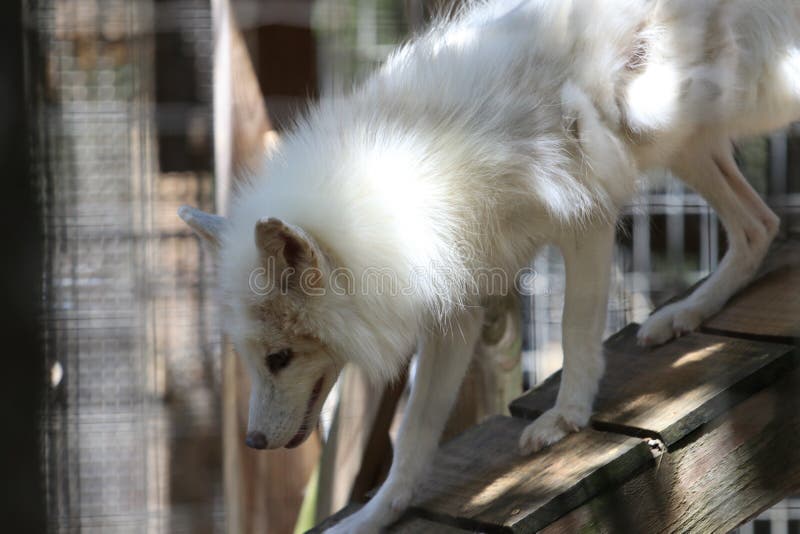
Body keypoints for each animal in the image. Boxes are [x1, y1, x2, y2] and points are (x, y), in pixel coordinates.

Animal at [179, 0, 796, 531]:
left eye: (280, 358)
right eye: (255, 360)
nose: (254, 442)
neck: (422, 169)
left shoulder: (586, 218)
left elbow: (575, 332)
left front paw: (566, 420)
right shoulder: (456, 303)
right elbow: (415, 435)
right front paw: (375, 516)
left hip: (674, 114)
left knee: (759, 218)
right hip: (682, 142)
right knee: (760, 225)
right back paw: (686, 314)